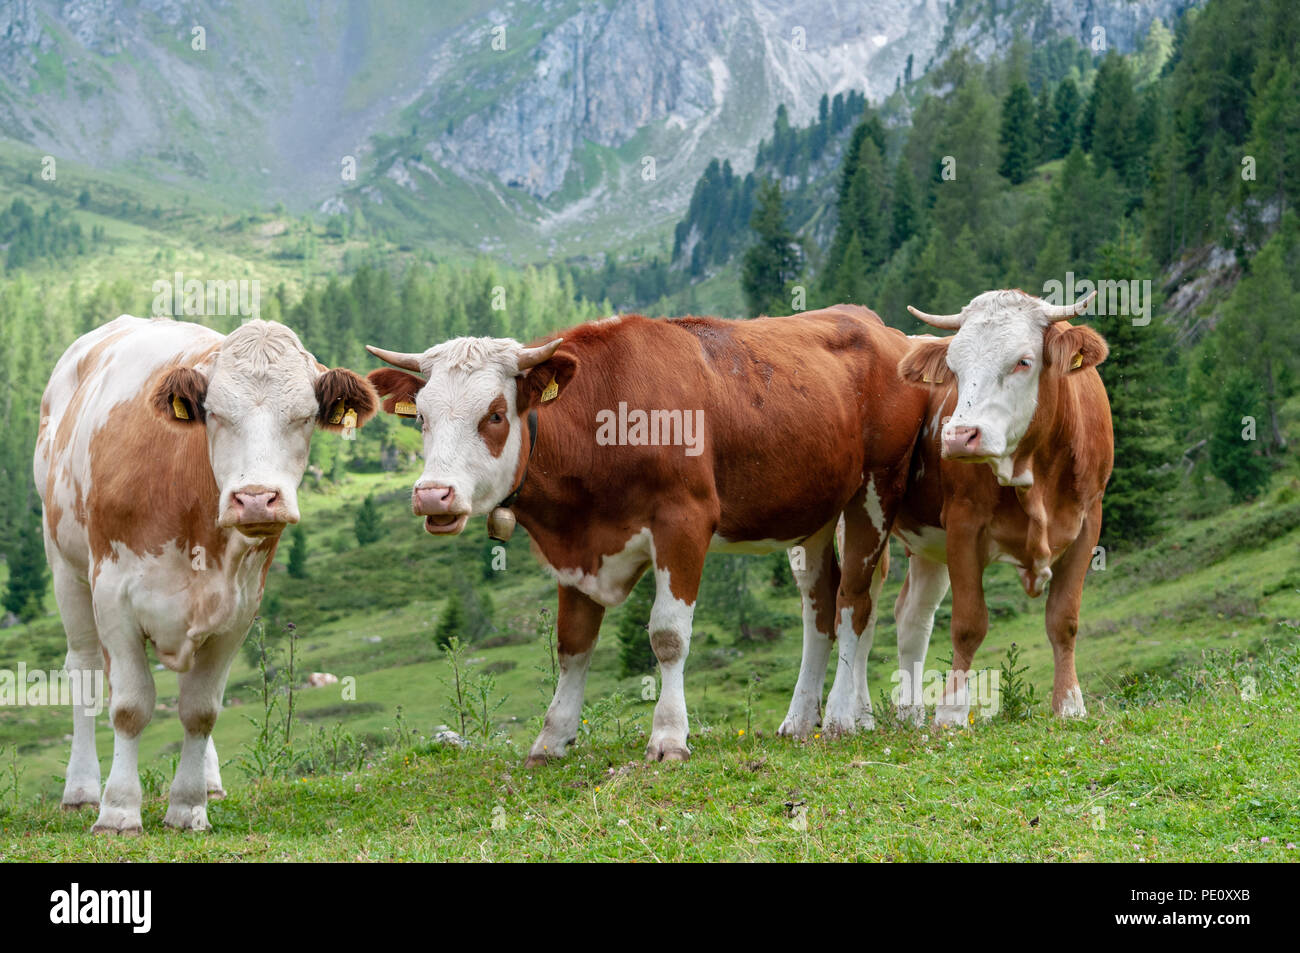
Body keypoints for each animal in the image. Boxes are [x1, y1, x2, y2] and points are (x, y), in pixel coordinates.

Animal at [35, 315, 378, 833]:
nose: (256, 499)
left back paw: (211, 783)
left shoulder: (239, 608)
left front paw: (188, 807)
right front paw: (118, 811)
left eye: (303, 416)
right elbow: (130, 707)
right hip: (64, 567)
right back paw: (80, 790)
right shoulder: (113, 594)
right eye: (215, 414)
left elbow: (201, 710)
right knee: (85, 672)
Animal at [365, 307, 931, 764]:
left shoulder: (684, 521)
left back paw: (839, 716)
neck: (608, 418)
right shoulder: (578, 546)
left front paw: (669, 736)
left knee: (854, 599)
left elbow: (668, 635)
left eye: (496, 415)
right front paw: (553, 738)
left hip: (876, 490)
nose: (433, 495)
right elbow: (572, 643)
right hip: (813, 509)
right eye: (421, 418)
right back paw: (804, 719)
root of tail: (873, 323)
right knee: (821, 603)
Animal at [818, 289, 1112, 726]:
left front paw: (1069, 704)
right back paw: (857, 715)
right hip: (861, 522)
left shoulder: (1088, 522)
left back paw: (909, 713)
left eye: (1023, 361)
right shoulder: (963, 524)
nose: (958, 436)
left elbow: (1064, 620)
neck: (1033, 474)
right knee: (858, 613)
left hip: (927, 546)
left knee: (911, 617)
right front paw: (952, 711)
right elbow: (968, 624)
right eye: (954, 368)